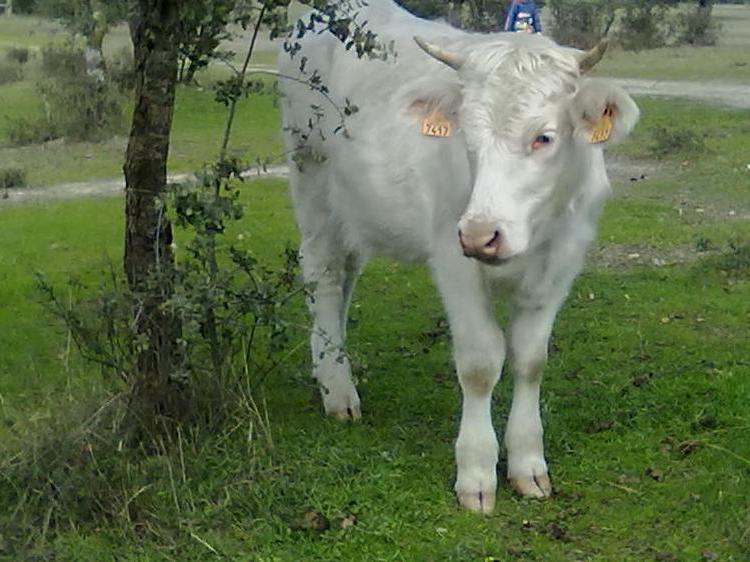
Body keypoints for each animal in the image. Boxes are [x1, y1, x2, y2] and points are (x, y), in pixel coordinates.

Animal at [279, 1, 639, 513]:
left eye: (544, 137)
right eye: (467, 137)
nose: (480, 235)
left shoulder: (562, 260)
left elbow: (531, 358)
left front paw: (528, 462)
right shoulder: (454, 259)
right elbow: (480, 362)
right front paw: (477, 472)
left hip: (357, 207)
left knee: (346, 275)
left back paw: (329, 363)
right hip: (311, 181)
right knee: (323, 276)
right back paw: (338, 388)